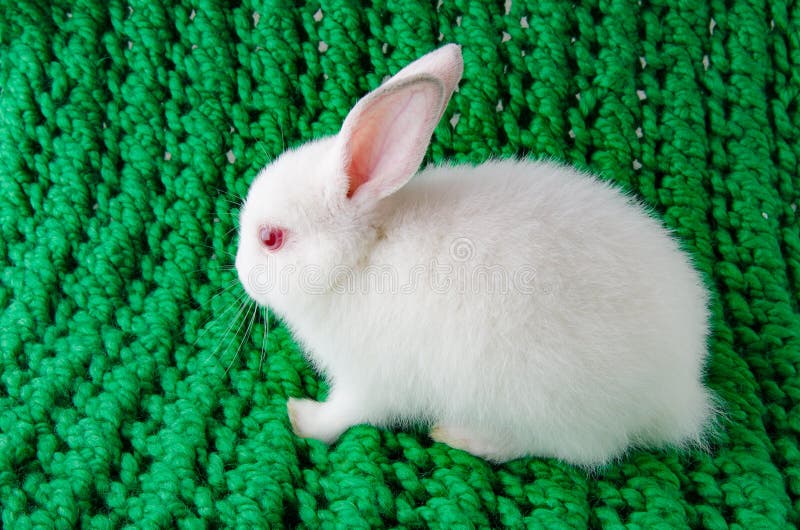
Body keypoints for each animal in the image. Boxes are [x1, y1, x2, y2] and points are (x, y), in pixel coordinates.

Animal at [234, 44, 716, 467]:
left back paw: (461, 436)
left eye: (270, 238)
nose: (239, 272)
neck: (363, 255)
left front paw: (301, 417)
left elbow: (344, 414)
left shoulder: (368, 381)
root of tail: (680, 390)